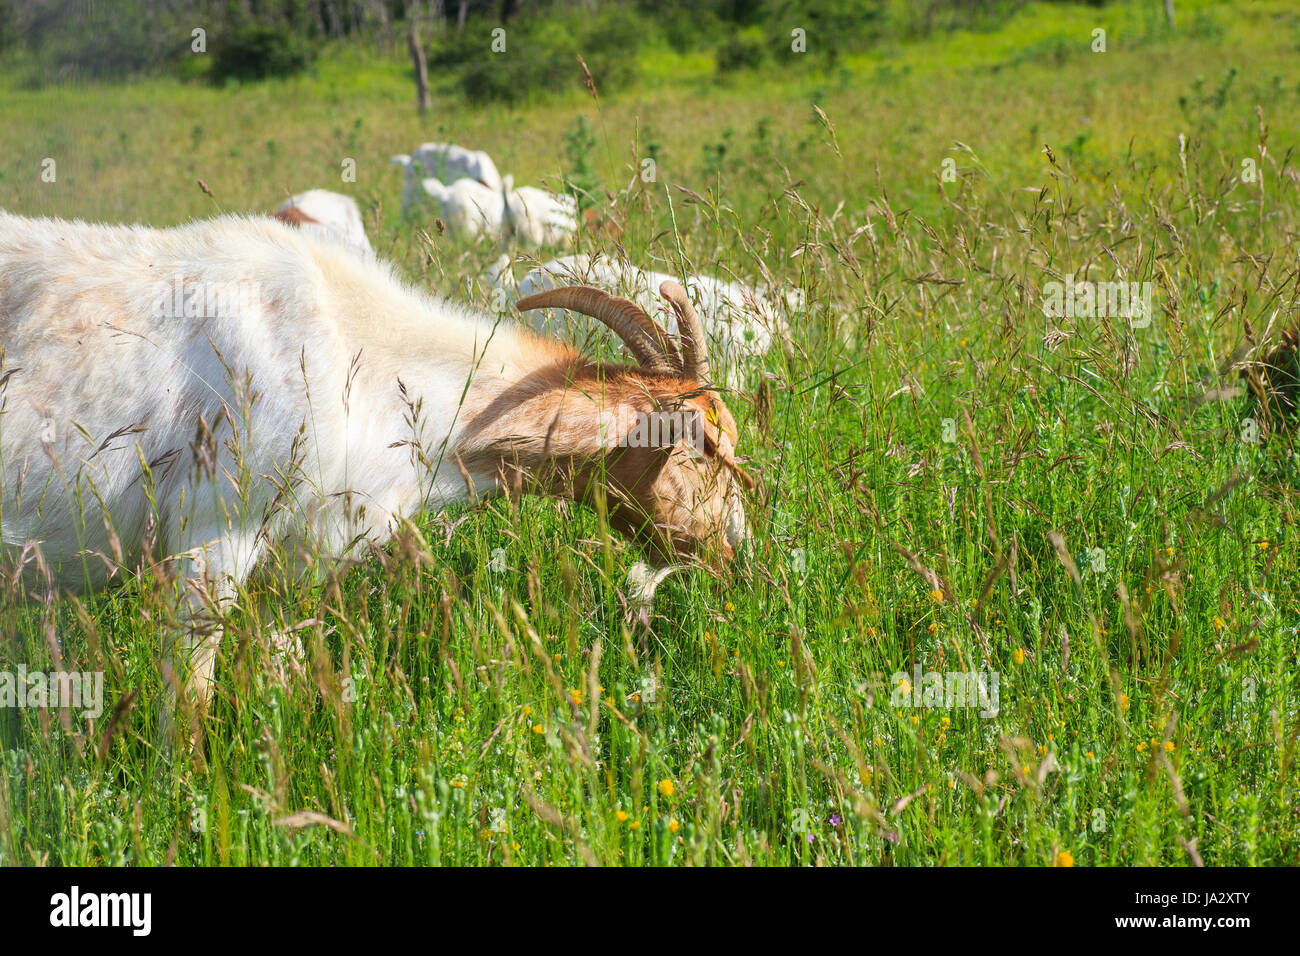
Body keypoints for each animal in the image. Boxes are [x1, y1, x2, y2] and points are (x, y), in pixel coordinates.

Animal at [0, 211, 751, 746]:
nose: (734, 553)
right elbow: (188, 700)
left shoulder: (291, 559)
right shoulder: (213, 536)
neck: (352, 345)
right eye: (705, 450)